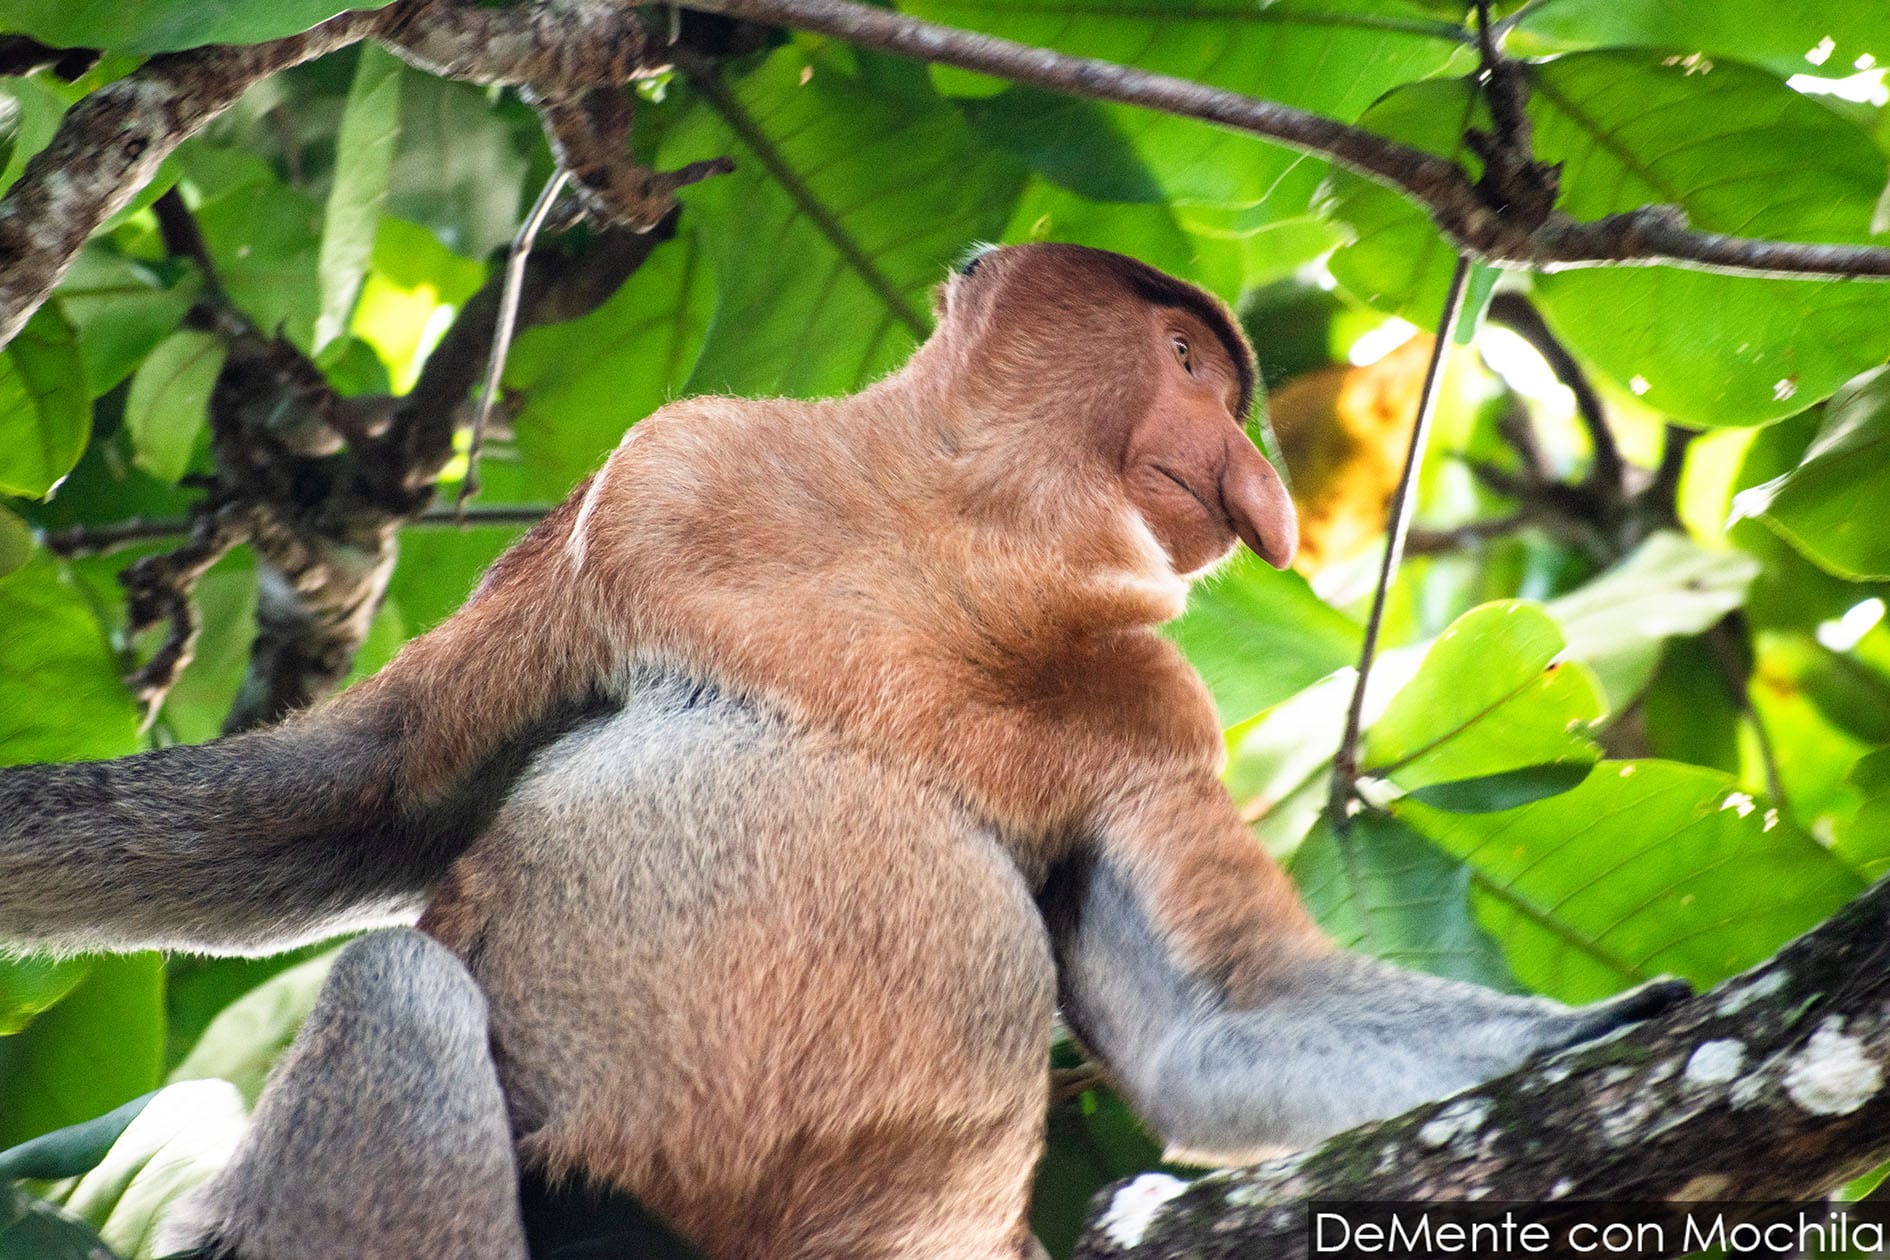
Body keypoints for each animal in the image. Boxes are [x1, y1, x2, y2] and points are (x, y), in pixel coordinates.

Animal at [0, 244, 1685, 1259]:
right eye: (1190, 359)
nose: (1253, 477)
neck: (944, 543)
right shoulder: (662, 481)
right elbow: (362, 788)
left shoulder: (1152, 717)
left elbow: (1224, 1026)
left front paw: (1620, 1021)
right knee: (399, 988)